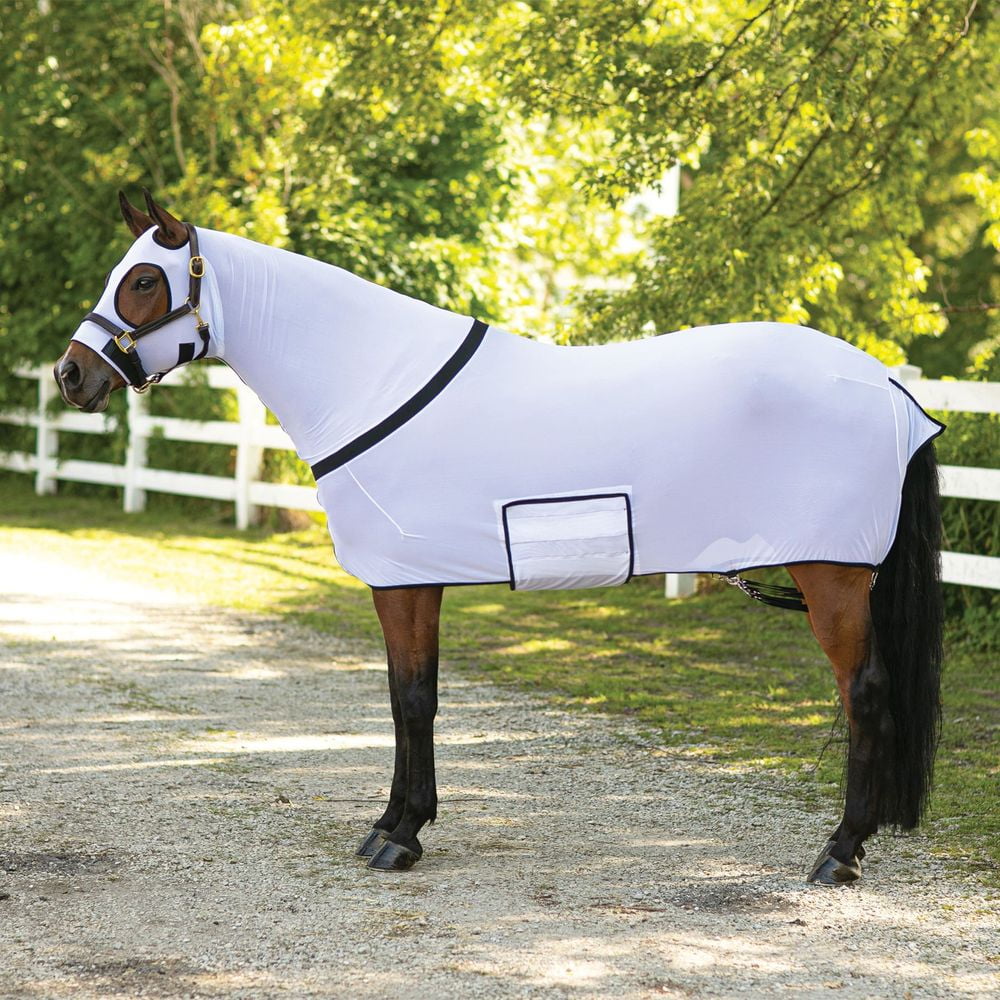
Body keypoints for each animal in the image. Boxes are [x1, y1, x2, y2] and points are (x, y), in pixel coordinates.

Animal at [53, 191, 944, 883]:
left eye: (143, 279)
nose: (71, 375)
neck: (370, 380)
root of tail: (888, 385)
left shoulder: (406, 580)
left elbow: (414, 700)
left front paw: (401, 837)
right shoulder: (409, 580)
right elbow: (406, 695)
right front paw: (393, 824)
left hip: (831, 574)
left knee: (864, 693)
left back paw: (839, 853)